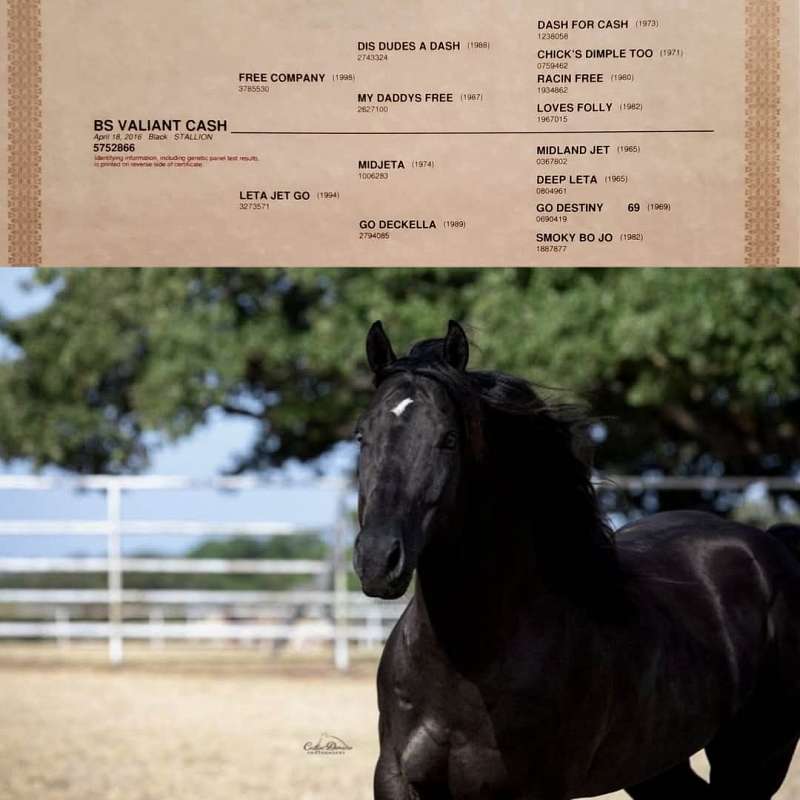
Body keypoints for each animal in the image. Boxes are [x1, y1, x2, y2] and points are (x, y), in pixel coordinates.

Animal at [352, 320, 800, 800]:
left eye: (449, 438)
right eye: (362, 436)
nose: (378, 559)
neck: (468, 662)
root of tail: (766, 546)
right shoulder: (396, 779)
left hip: (755, 759)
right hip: (655, 763)